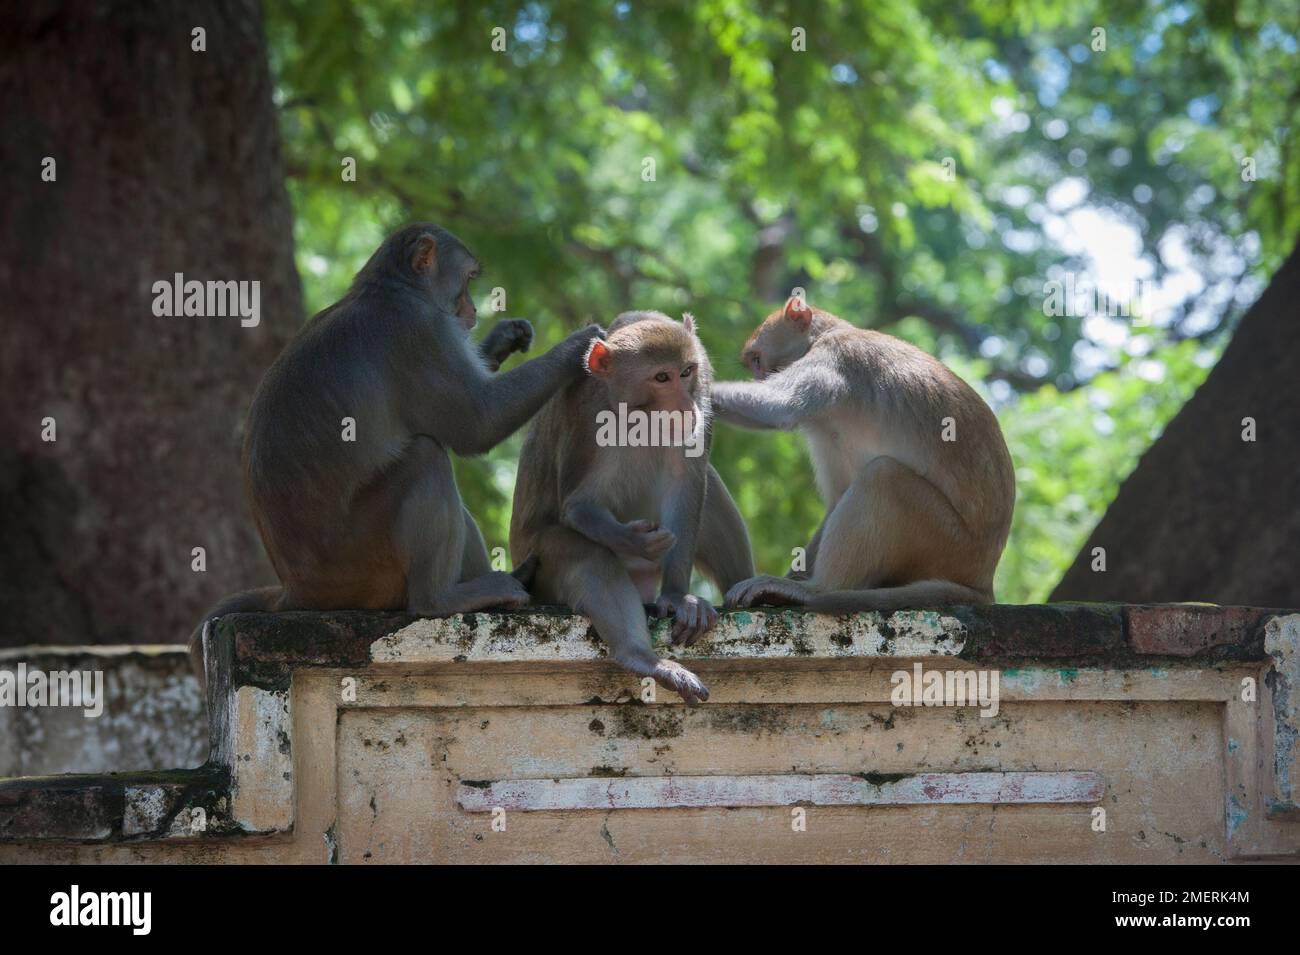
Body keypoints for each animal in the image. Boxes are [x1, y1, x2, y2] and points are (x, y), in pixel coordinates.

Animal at [187, 223, 604, 687]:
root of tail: (298, 592)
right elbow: (477, 424)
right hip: (361, 568)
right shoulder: (418, 331)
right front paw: (577, 347)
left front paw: (503, 338)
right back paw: (440, 600)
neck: (390, 288)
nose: (472, 309)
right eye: (468, 279)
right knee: (426, 457)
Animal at [510, 310, 755, 703]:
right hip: (535, 566)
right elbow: (578, 506)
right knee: (586, 553)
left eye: (687, 371)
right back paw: (641, 658)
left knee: (710, 489)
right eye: (661, 377)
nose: (685, 409)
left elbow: (687, 484)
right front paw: (638, 541)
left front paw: (678, 597)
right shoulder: (588, 416)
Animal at [711, 296, 1015, 612]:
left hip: (947, 543)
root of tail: (983, 581)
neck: (824, 334)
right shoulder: (823, 425)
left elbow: (779, 407)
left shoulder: (835, 357)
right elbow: (837, 497)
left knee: (883, 476)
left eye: (757, 360)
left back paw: (816, 590)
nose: (757, 376)